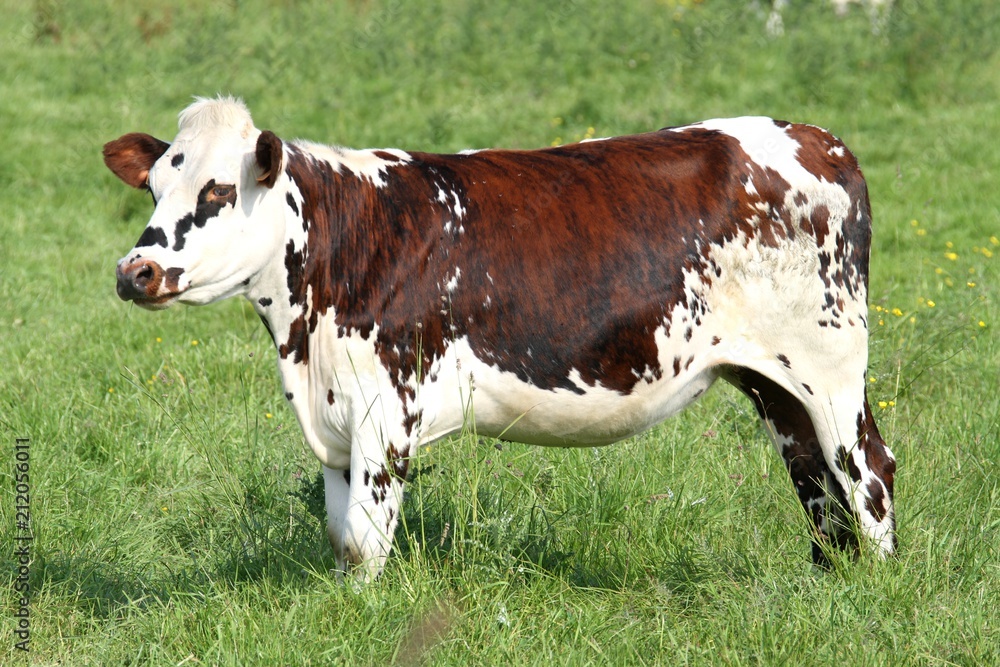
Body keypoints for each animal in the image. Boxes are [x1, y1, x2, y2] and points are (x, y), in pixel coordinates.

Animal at [104, 96, 896, 580]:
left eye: (216, 191)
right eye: (154, 188)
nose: (135, 270)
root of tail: (818, 139)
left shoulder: (386, 412)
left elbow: (364, 535)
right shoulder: (333, 417)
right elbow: (339, 536)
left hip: (830, 364)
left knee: (867, 471)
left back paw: (876, 588)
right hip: (773, 381)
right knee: (816, 484)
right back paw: (829, 580)